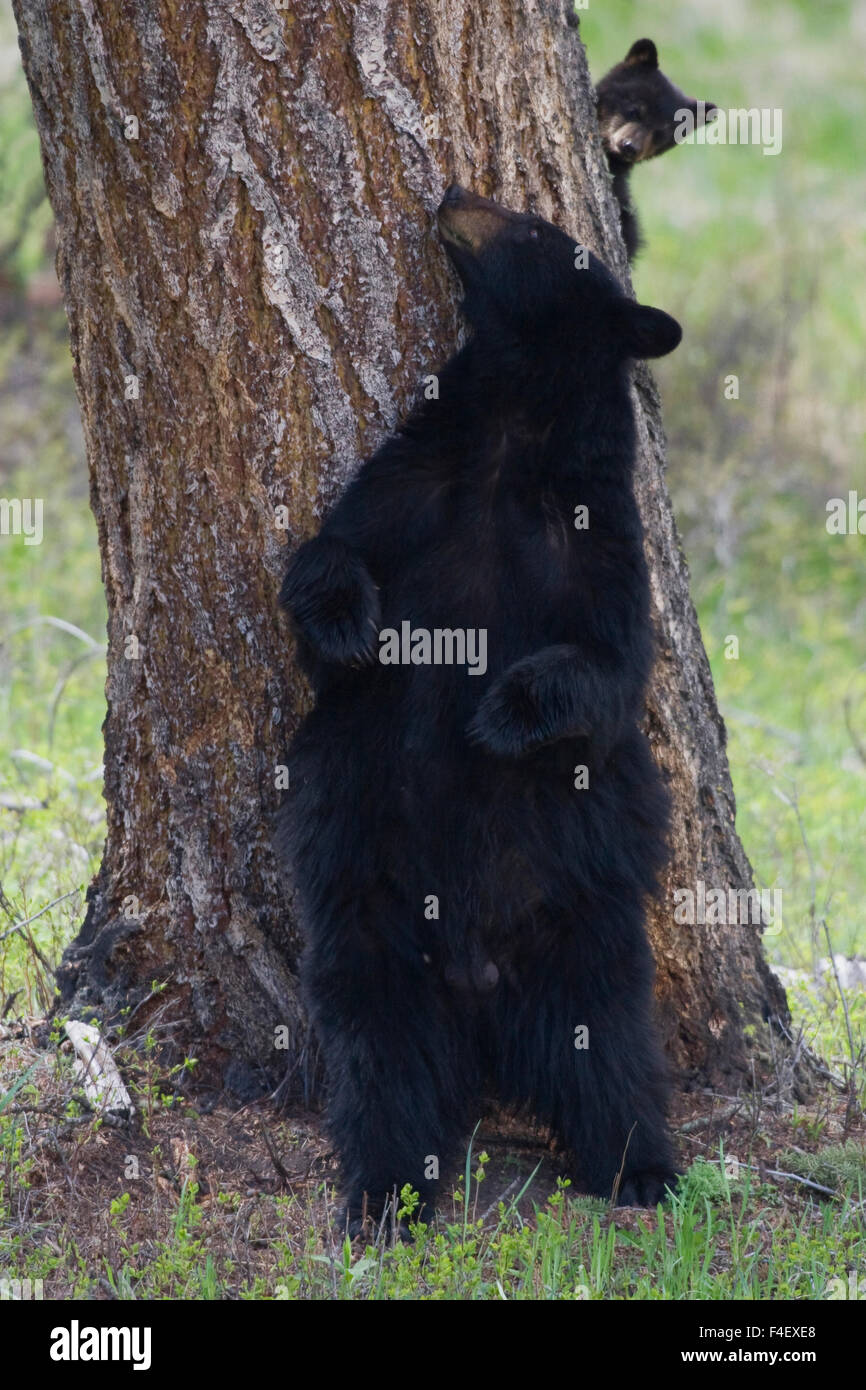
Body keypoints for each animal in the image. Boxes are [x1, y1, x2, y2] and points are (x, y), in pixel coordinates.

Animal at [278, 185, 682, 1229]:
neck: (512, 430)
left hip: (582, 928)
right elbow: (329, 556)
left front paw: (504, 712)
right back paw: (384, 1191)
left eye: (539, 229)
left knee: (609, 1048)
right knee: (379, 1057)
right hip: (370, 923)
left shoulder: (599, 535)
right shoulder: (411, 484)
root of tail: (475, 983)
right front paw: (350, 624)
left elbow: (608, 667)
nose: (455, 192)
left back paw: (643, 1168)